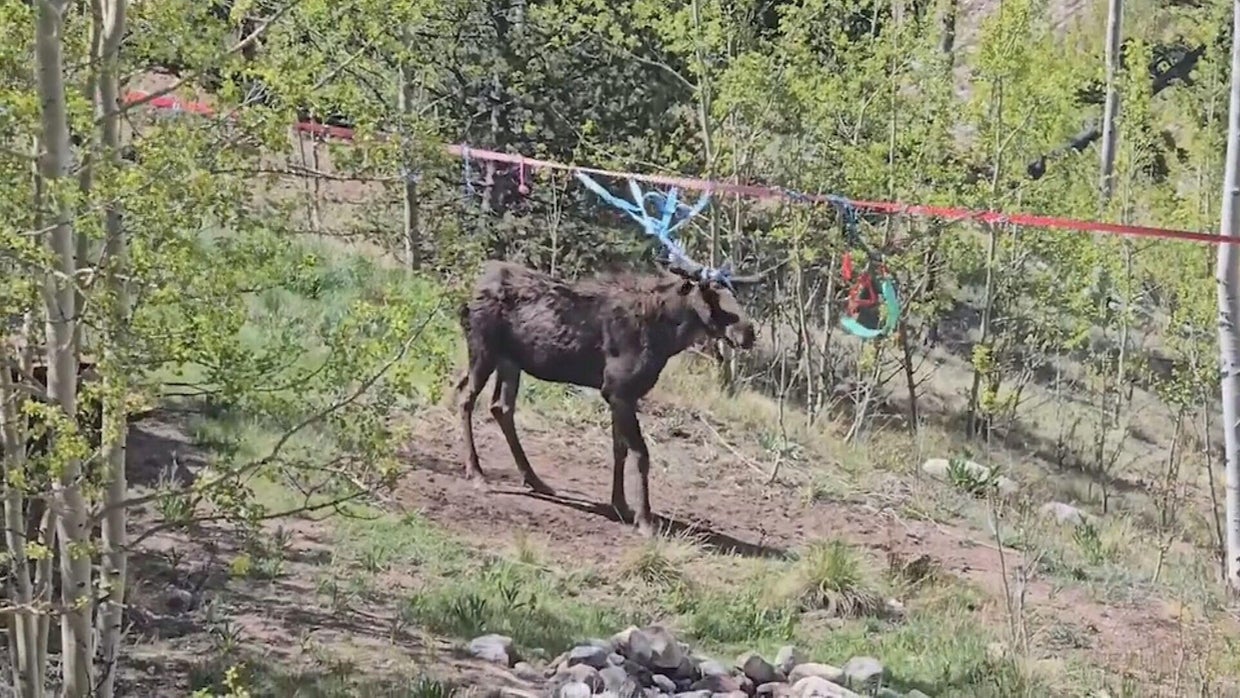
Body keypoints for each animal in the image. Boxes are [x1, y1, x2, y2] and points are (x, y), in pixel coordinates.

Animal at [452, 255, 764, 537]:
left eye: (733, 291)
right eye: (710, 292)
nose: (748, 332)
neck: (667, 338)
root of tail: (471, 290)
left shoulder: (621, 396)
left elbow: (619, 449)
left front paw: (621, 506)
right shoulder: (619, 390)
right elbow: (641, 454)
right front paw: (644, 520)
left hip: (510, 361)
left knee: (499, 407)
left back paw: (535, 480)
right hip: (483, 350)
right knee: (466, 398)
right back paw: (477, 474)